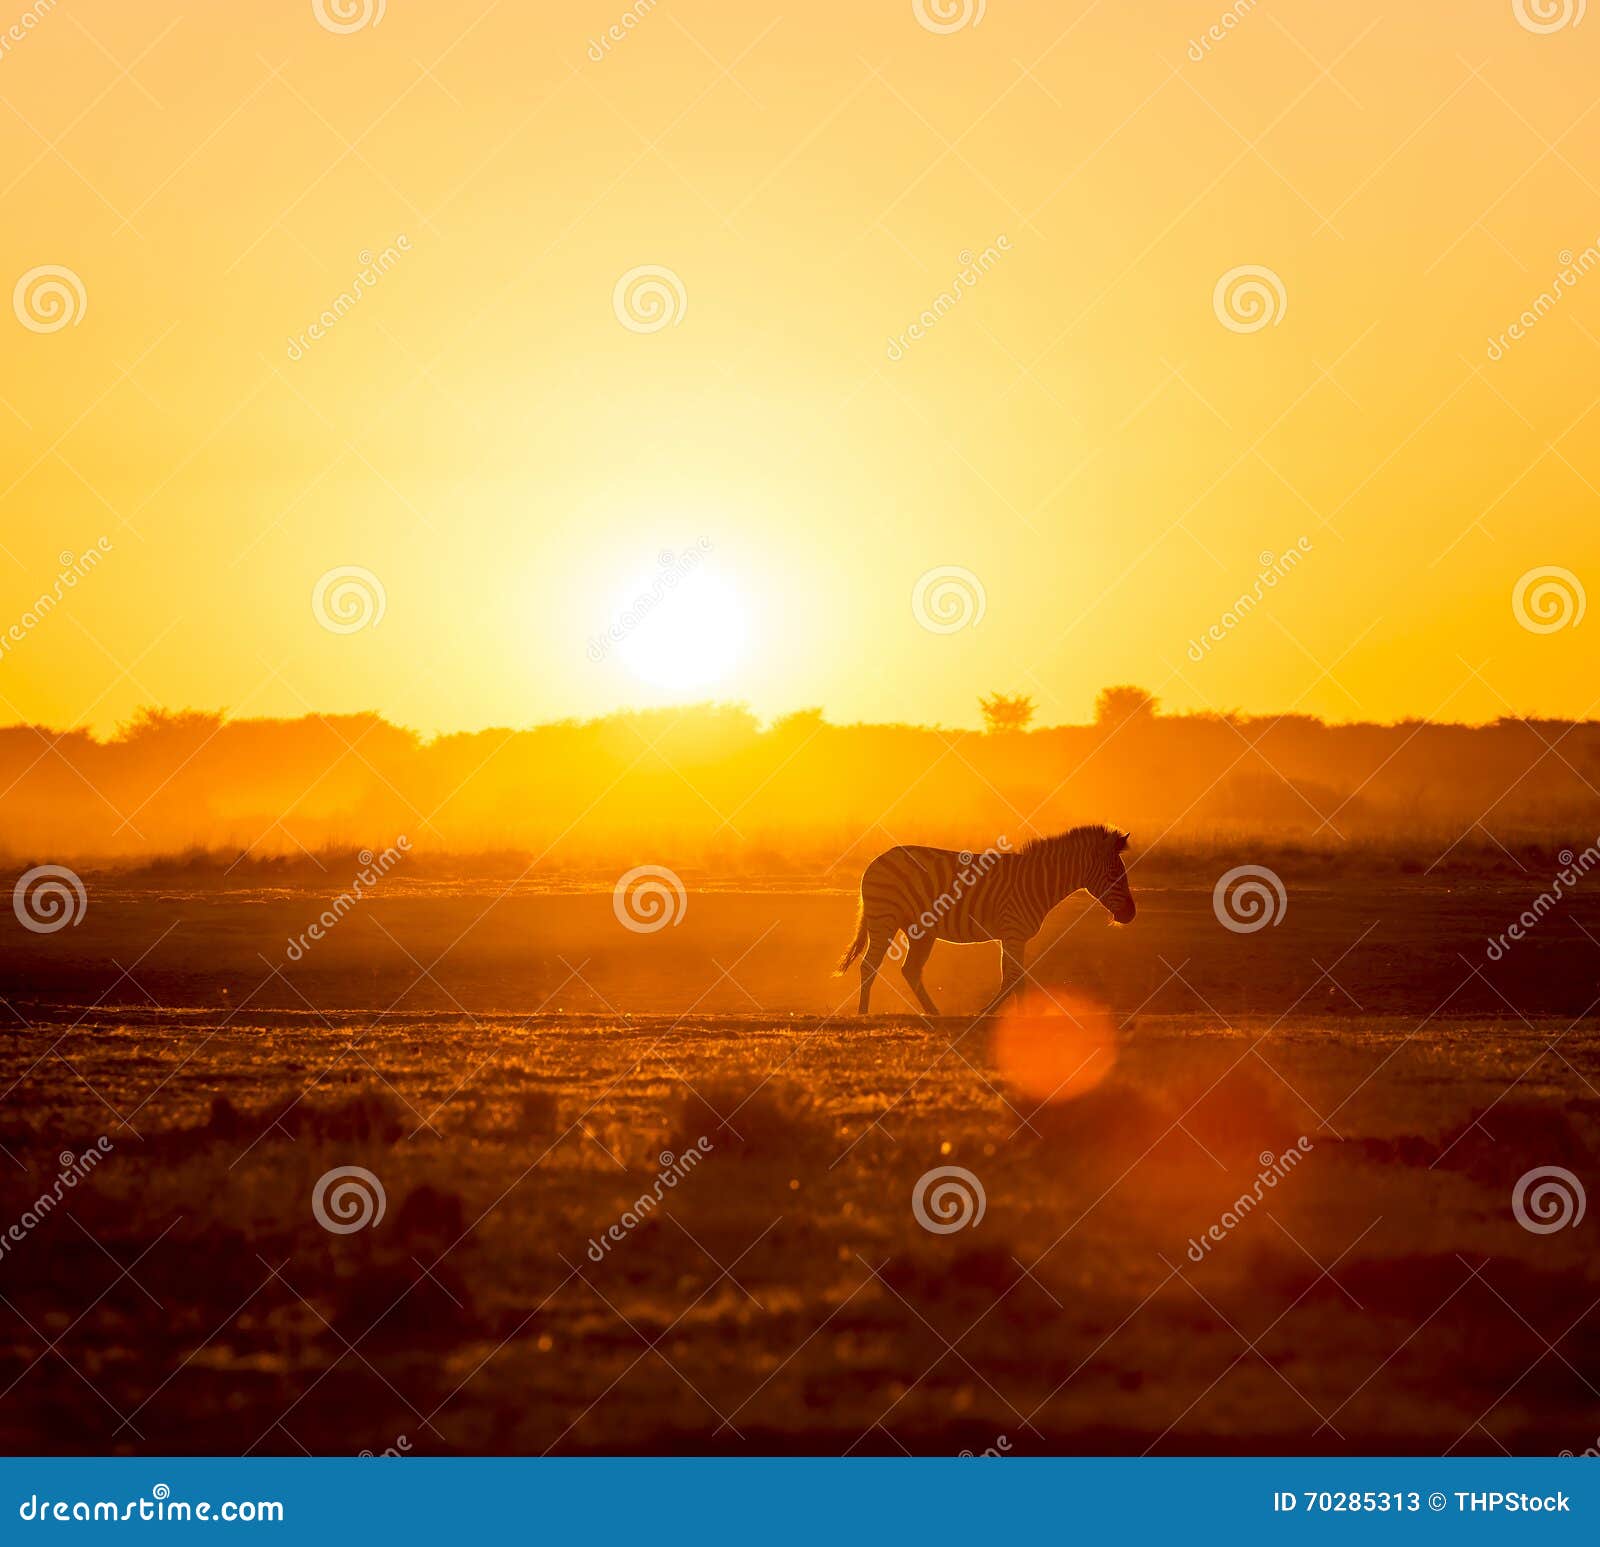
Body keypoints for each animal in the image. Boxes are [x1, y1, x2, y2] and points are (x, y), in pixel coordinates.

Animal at [835, 826, 1134, 1015]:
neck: (1037, 882)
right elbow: (1013, 978)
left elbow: (1013, 978)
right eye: (1115, 873)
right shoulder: (1013, 932)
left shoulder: (1013, 935)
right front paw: (1006, 1014)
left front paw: (1016, 1017)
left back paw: (933, 1012)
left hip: (919, 930)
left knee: (910, 970)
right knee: (869, 966)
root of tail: (875, 861)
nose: (1131, 914)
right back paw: (863, 1013)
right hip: (884, 918)